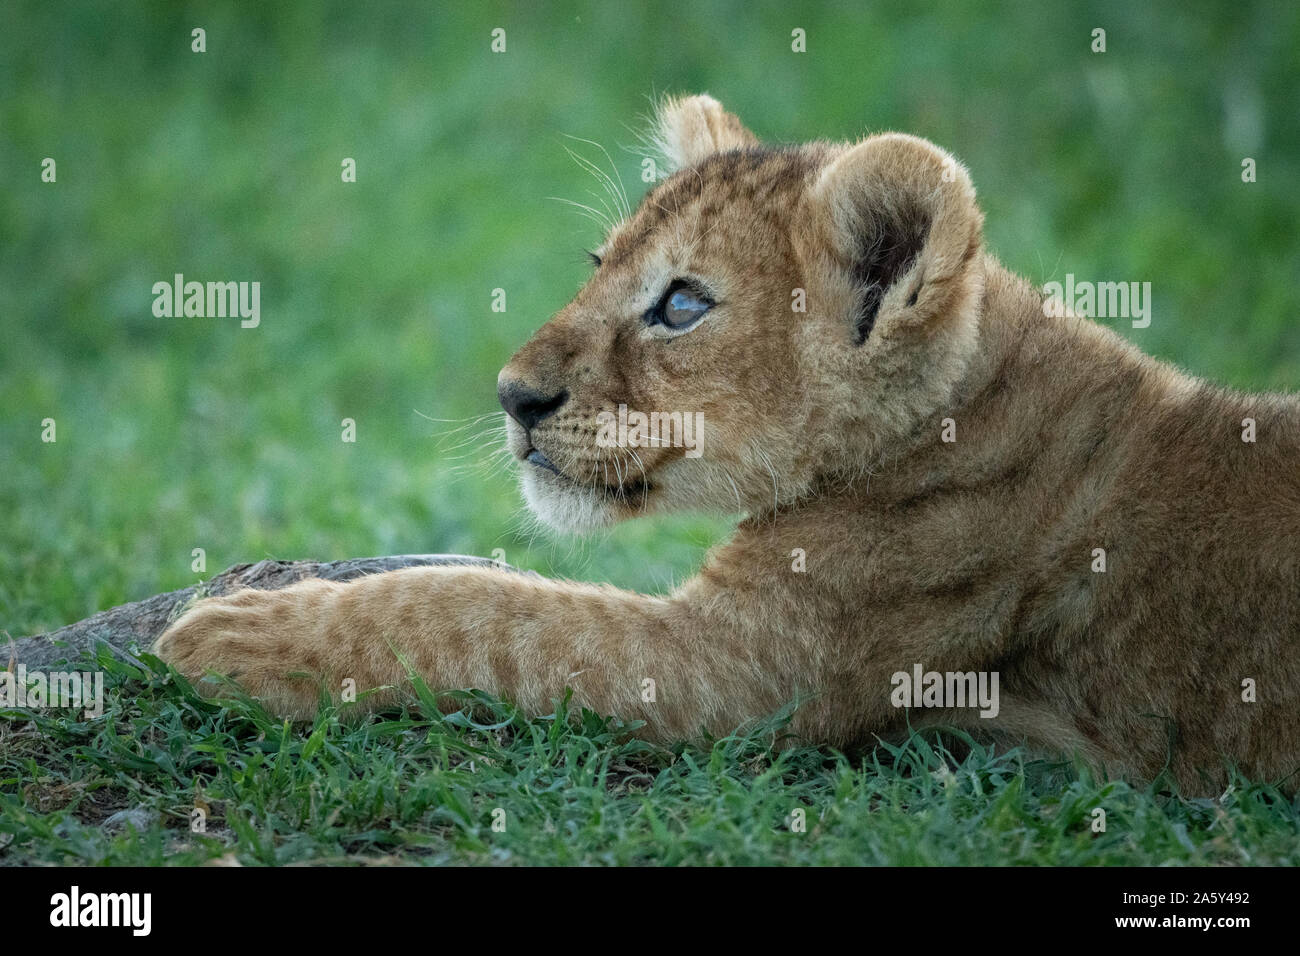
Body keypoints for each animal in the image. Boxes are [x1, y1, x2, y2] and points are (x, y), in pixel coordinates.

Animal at [156, 94, 1300, 794]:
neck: (966, 395)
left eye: (682, 305)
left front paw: (236, 635)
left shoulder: (742, 672)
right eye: (598, 264)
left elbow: (482, 608)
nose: (513, 396)